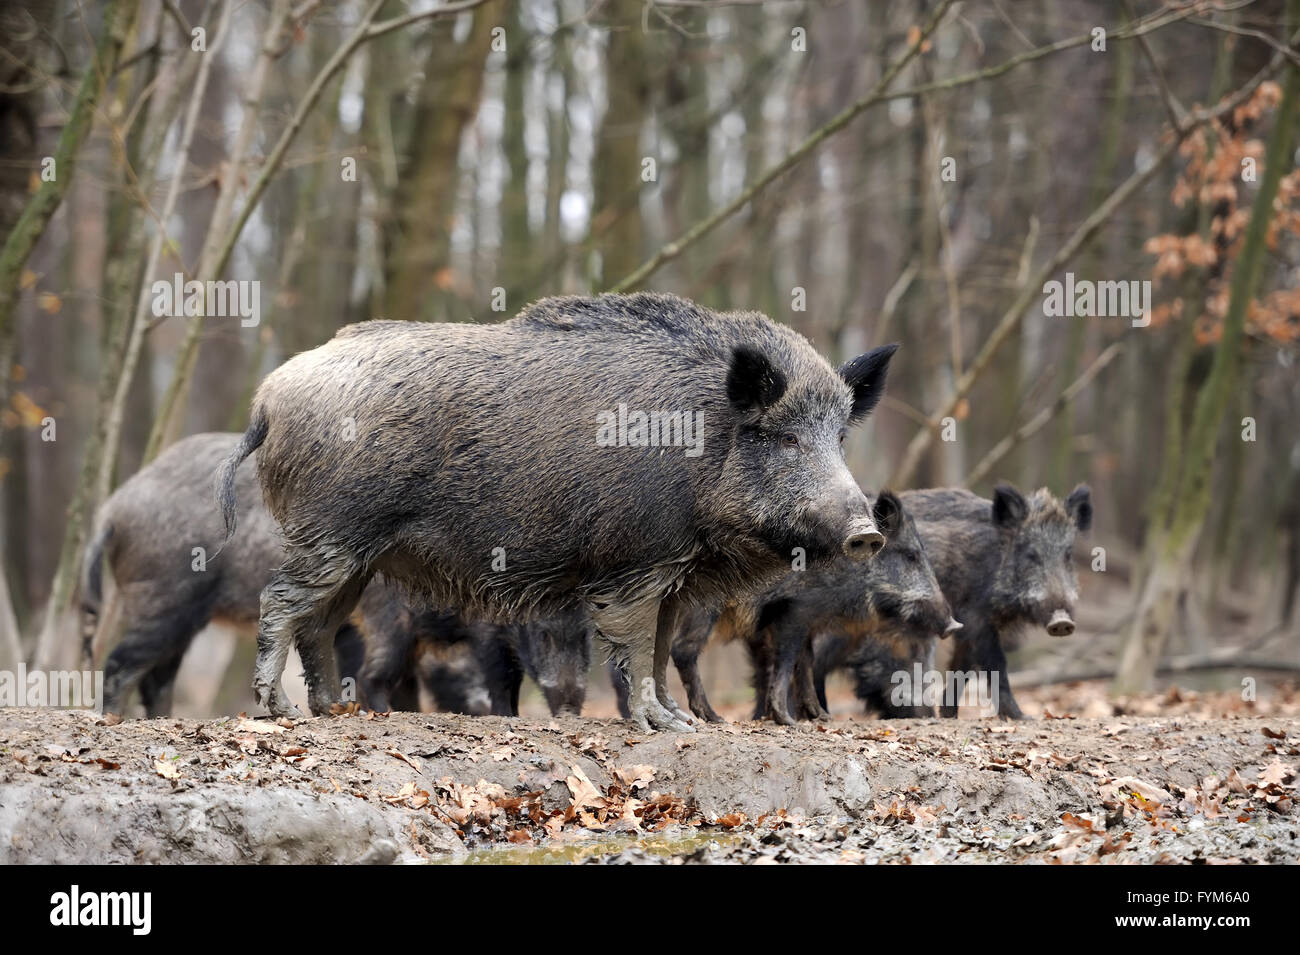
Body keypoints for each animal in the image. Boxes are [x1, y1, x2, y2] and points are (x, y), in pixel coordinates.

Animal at [219, 292, 898, 731]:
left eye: (839, 436)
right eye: (783, 437)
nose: (867, 533)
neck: (702, 439)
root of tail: (268, 398)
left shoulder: (675, 578)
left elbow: (659, 647)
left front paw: (681, 721)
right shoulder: (636, 562)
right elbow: (634, 643)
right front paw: (660, 725)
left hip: (358, 556)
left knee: (320, 623)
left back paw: (333, 711)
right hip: (331, 531)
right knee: (280, 602)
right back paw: (279, 712)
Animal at [892, 483, 1092, 720]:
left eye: (1068, 555)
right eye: (1031, 555)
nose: (1062, 622)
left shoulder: (964, 624)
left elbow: (962, 666)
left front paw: (949, 716)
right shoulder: (976, 617)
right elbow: (996, 663)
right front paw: (1022, 717)